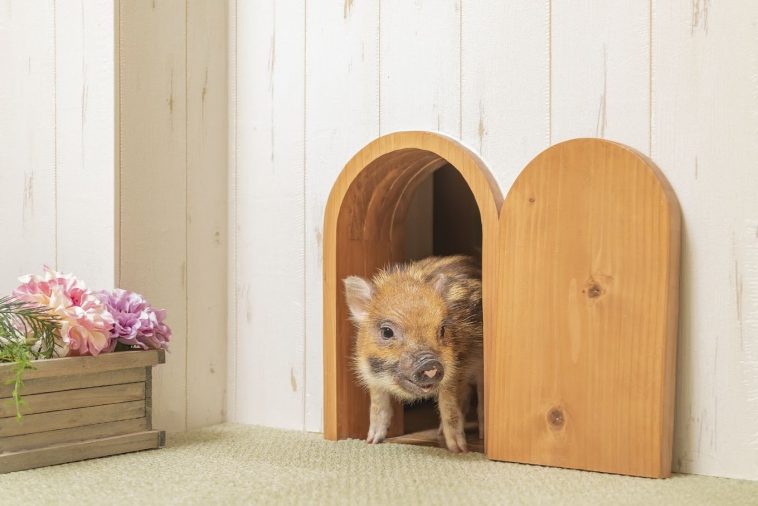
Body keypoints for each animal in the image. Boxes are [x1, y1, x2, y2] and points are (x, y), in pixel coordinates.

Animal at [343, 255, 483, 453]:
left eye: (442, 330)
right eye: (387, 332)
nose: (430, 362)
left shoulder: (456, 372)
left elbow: (449, 406)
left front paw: (459, 450)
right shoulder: (370, 374)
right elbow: (378, 404)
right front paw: (372, 441)